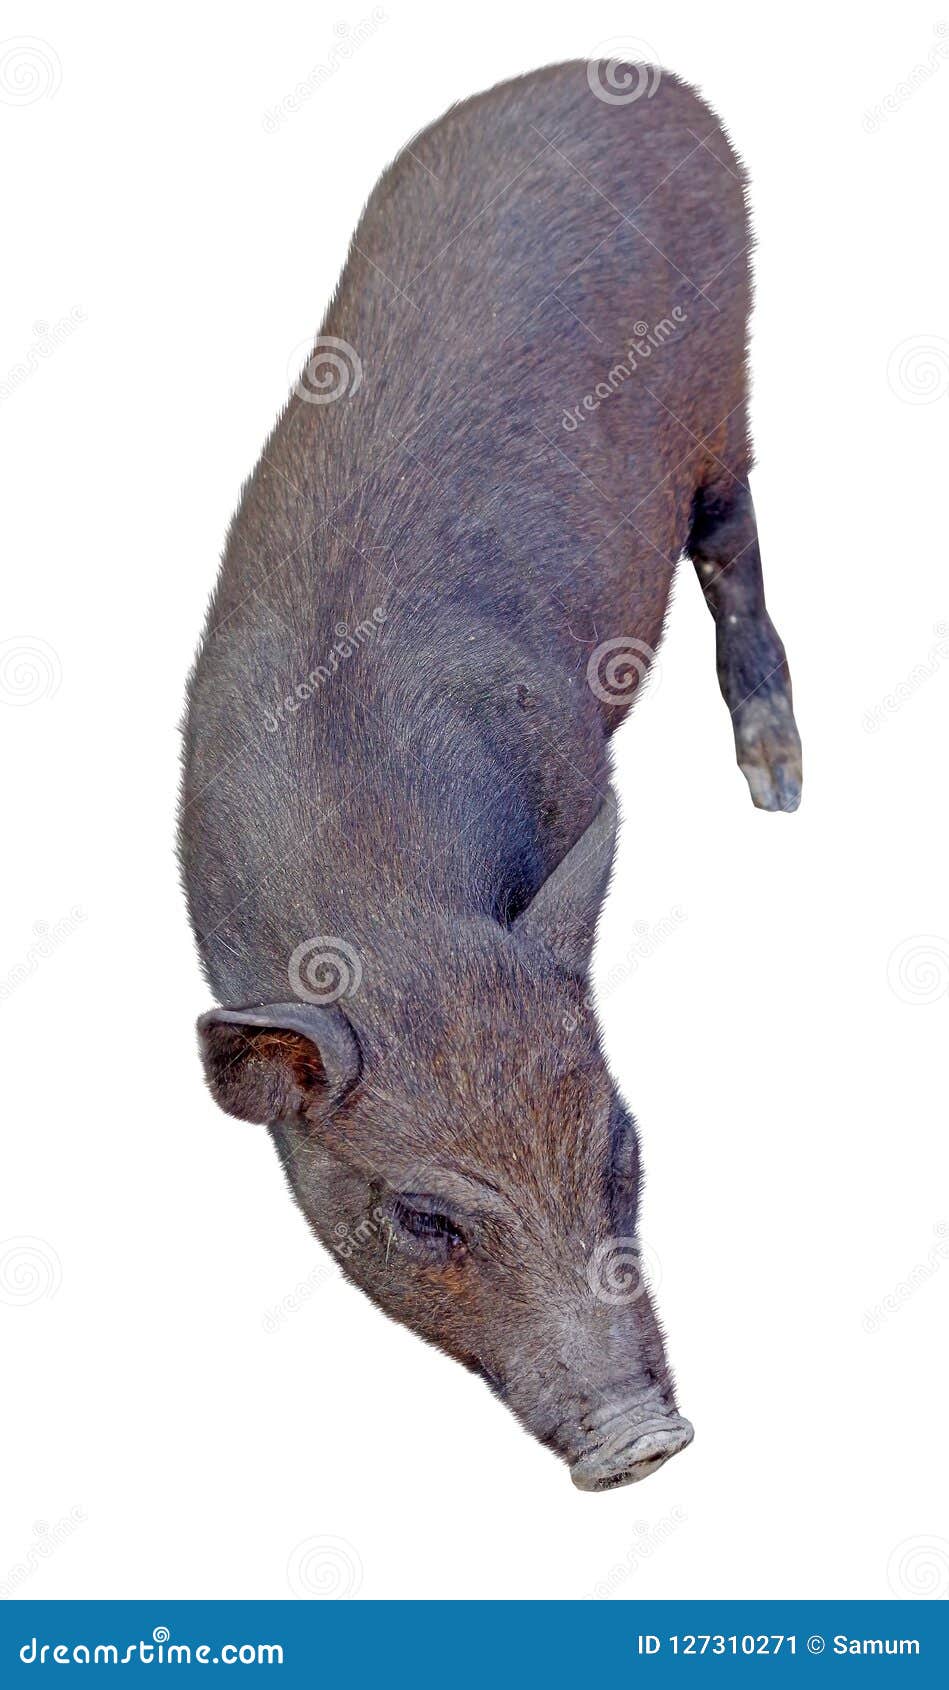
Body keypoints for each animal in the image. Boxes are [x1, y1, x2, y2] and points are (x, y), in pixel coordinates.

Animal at [180, 59, 801, 1490]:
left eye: (620, 1147)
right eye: (424, 1219)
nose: (649, 1441)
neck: (389, 899)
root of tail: (633, 73)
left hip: (726, 379)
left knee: (735, 531)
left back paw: (778, 785)